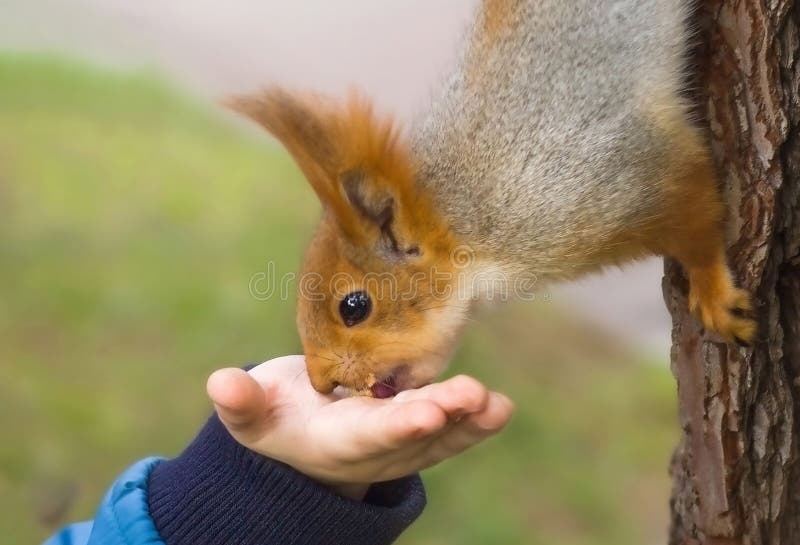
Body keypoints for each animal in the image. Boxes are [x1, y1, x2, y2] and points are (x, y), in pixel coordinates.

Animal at [229, 0, 757, 397]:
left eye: (354, 307)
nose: (321, 383)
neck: (472, 224)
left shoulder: (623, 173)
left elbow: (696, 217)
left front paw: (713, 295)